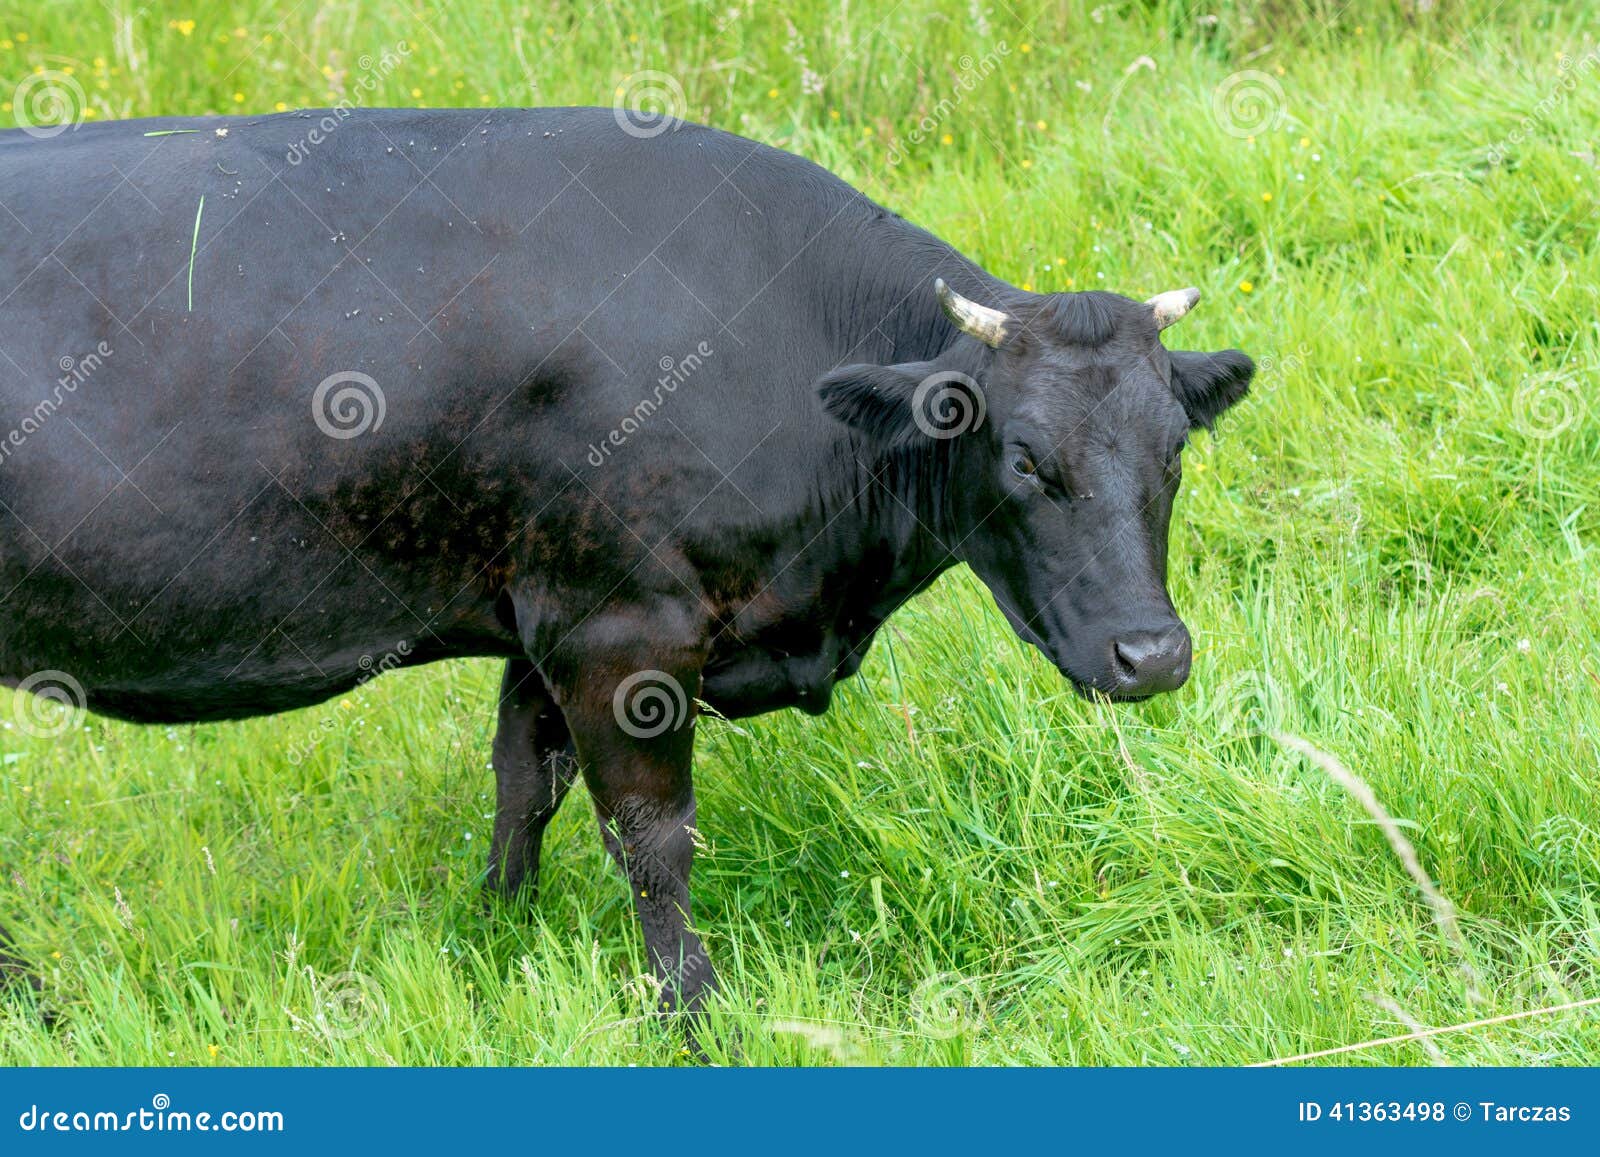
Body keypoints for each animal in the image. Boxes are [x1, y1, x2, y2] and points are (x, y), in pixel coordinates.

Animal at [0, 107, 1252, 1036]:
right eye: (1025, 458)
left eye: (1174, 450)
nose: (1151, 652)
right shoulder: (618, 626)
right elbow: (653, 836)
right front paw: (691, 1011)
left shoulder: (539, 610)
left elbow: (523, 780)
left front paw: (495, 934)